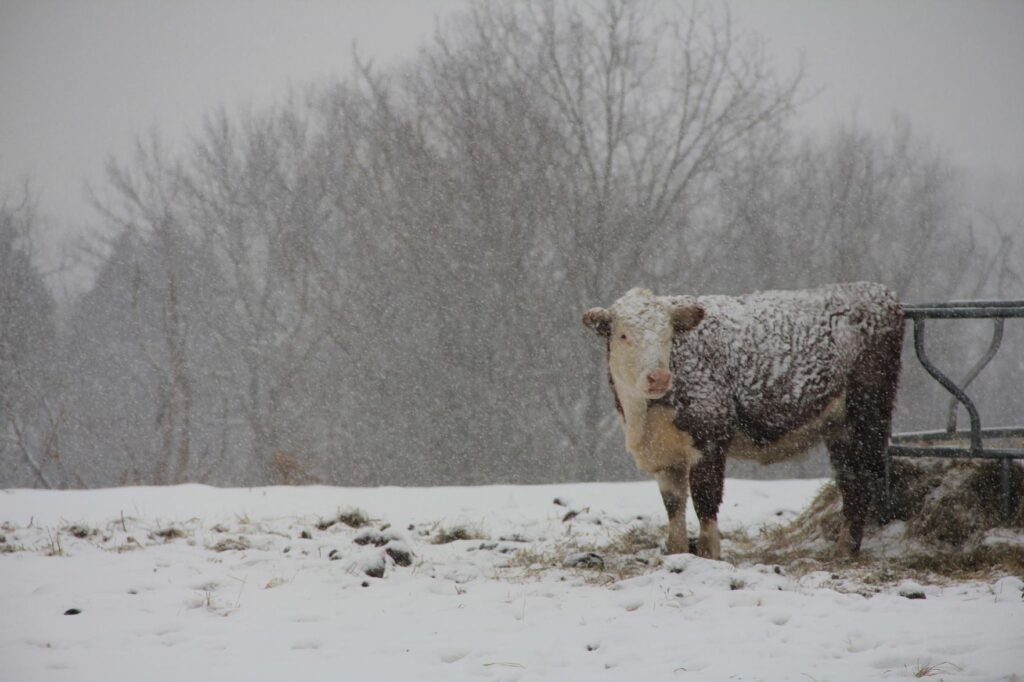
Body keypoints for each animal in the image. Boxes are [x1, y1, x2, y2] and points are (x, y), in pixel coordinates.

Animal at [582, 282, 903, 559]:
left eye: (668, 335)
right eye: (624, 336)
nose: (658, 377)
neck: (643, 416)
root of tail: (879, 292)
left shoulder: (710, 437)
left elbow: (705, 502)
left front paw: (709, 557)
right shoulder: (665, 456)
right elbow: (674, 509)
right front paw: (676, 554)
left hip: (867, 412)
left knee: (866, 476)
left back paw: (847, 549)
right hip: (838, 427)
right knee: (851, 480)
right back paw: (843, 551)